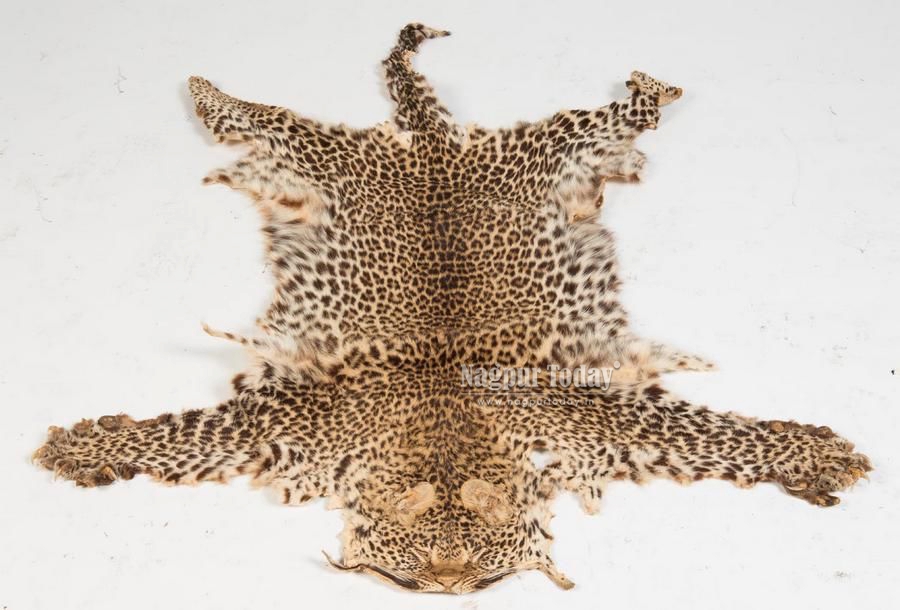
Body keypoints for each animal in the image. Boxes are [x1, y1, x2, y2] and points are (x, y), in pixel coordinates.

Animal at [32, 23, 871, 594]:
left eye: (488, 571)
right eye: (405, 570)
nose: (445, 583)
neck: (444, 410)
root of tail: (436, 150)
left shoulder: (594, 411)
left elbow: (721, 435)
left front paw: (818, 455)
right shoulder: (295, 411)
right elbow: (181, 435)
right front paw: (84, 447)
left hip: (562, 151)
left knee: (619, 114)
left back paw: (648, 87)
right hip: (317, 157)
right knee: (259, 116)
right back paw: (212, 91)